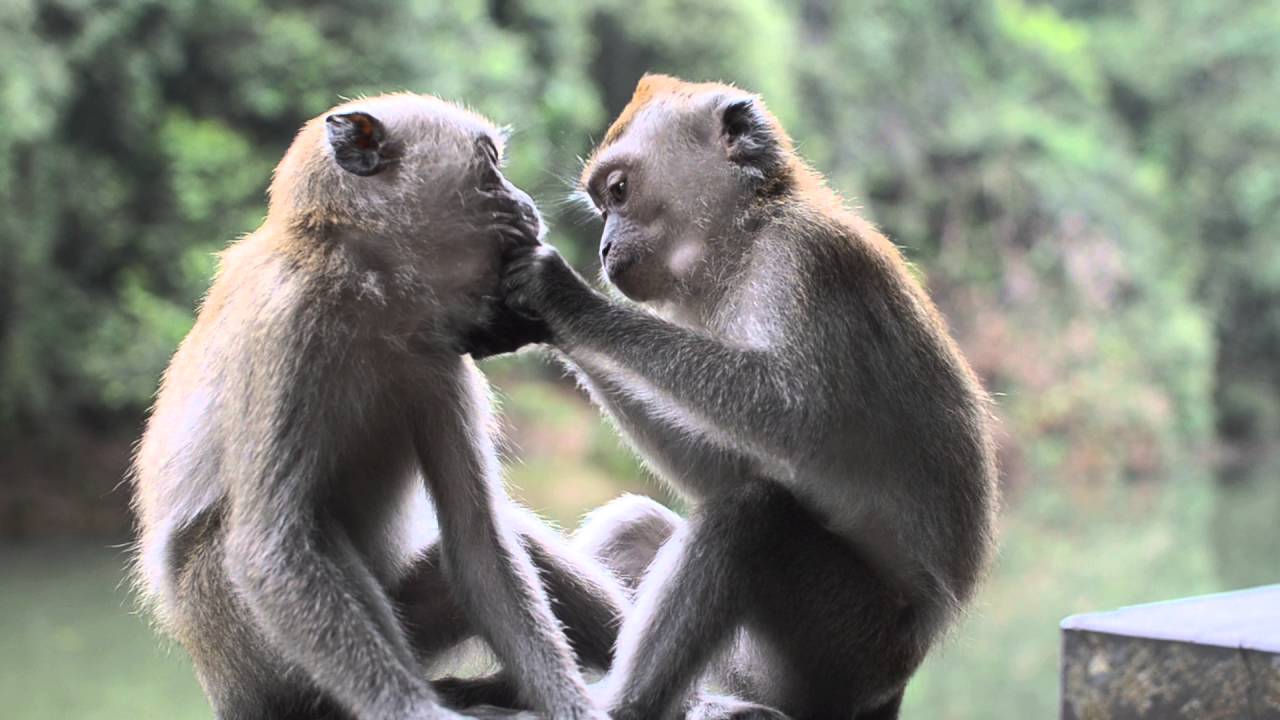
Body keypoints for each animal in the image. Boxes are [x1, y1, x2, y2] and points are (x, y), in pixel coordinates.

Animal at [128, 92, 631, 720]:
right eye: (490, 165)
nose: (525, 203)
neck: (367, 287)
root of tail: (222, 689)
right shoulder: (285, 327)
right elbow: (270, 549)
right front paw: (418, 711)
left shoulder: (437, 357)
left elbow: (479, 539)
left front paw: (569, 703)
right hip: (249, 661)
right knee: (275, 537)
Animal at [487, 74, 1000, 720]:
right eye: (602, 206)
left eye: (620, 192)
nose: (603, 247)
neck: (749, 235)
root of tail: (892, 686)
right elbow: (729, 464)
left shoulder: (806, 265)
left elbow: (792, 415)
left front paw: (563, 298)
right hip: (752, 670)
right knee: (640, 524)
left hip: (843, 648)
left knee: (754, 518)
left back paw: (624, 704)